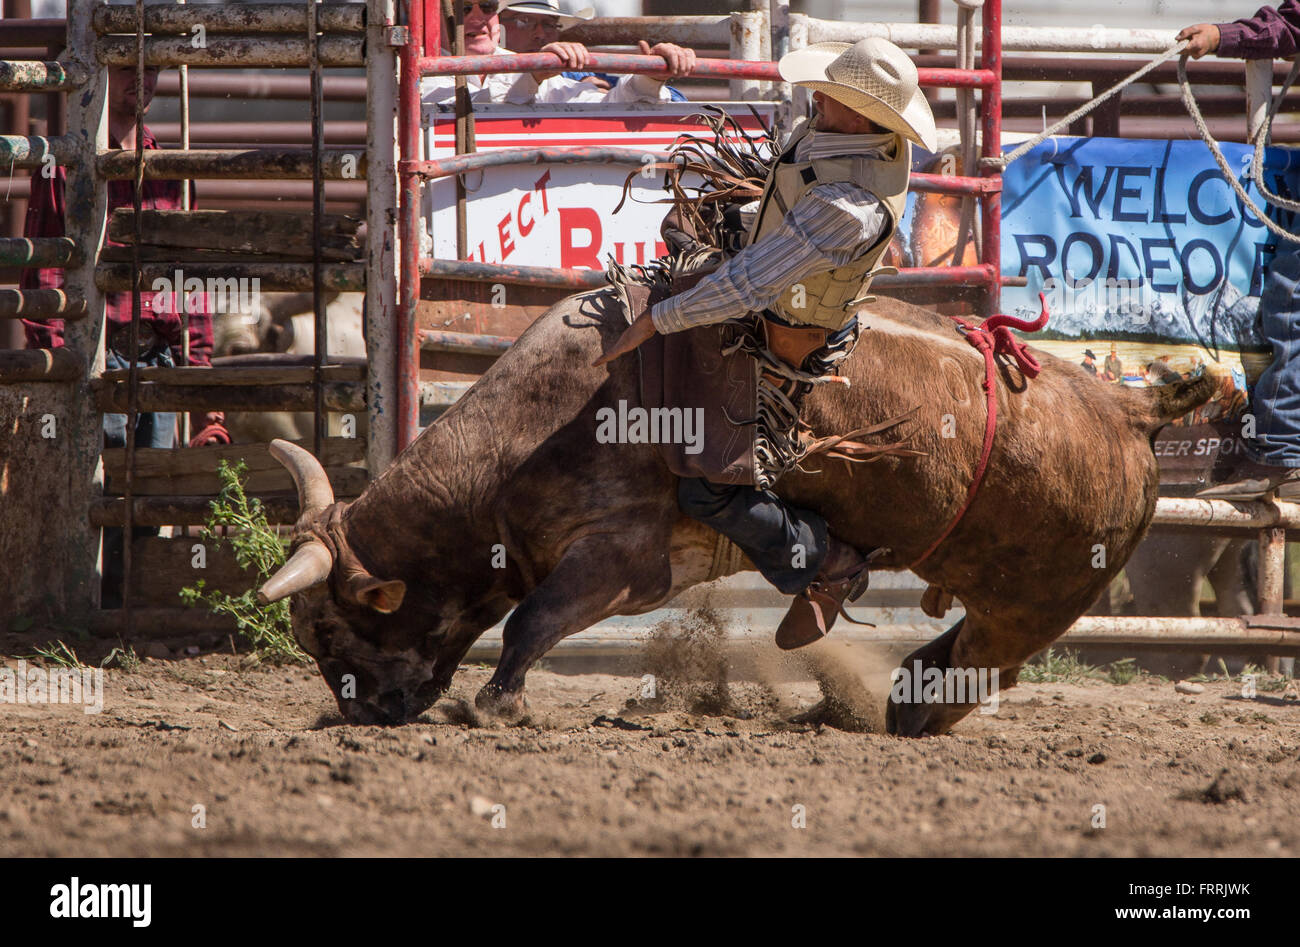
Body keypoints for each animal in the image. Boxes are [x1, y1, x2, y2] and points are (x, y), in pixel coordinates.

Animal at [256, 289, 1212, 736]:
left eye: (330, 629)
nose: (362, 714)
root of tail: (1133, 408)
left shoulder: (619, 560)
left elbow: (531, 621)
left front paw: (496, 705)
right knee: (960, 658)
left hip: (1033, 602)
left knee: (982, 662)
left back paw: (907, 706)